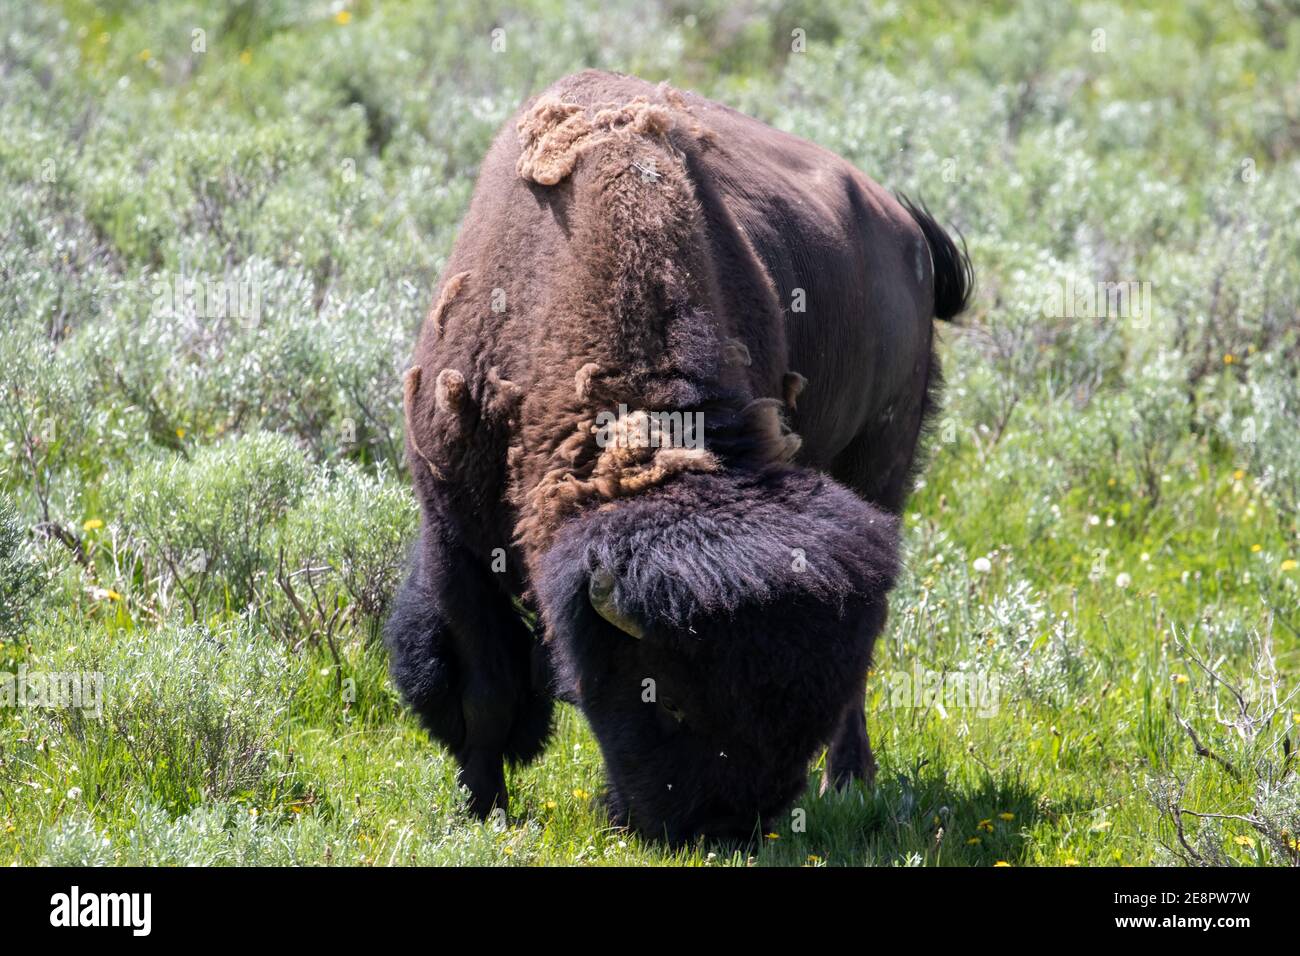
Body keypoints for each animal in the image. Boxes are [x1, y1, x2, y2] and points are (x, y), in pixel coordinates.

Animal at [385, 69, 972, 844]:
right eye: (661, 699)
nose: (717, 827)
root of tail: (907, 232)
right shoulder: (452, 530)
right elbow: (485, 688)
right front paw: (485, 811)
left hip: (883, 463)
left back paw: (849, 784)